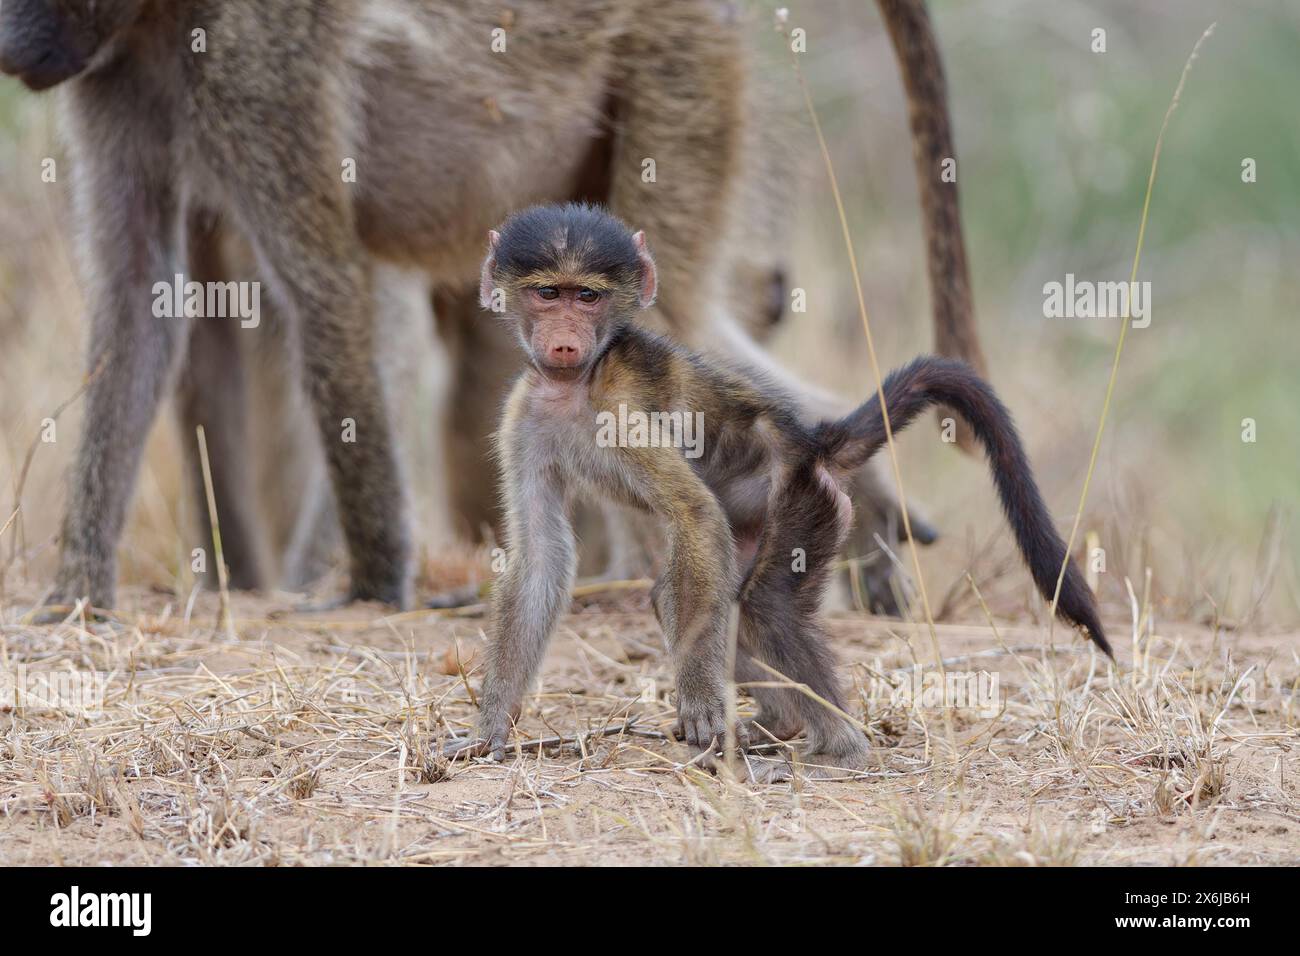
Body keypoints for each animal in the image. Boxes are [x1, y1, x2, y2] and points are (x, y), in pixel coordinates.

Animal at [0, 0, 982, 616]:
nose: (10, 46)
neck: (158, 13)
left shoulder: (261, 72)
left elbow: (327, 290)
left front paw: (369, 587)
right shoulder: (120, 83)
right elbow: (138, 308)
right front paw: (75, 594)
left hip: (681, 74)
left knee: (662, 329)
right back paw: (851, 504)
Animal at [453, 204, 1111, 779]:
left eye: (586, 296)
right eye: (547, 293)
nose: (564, 342)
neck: (576, 386)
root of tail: (810, 442)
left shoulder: (621, 406)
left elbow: (694, 513)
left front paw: (699, 704)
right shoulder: (524, 418)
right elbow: (541, 557)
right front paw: (491, 728)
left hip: (806, 503)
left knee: (764, 605)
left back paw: (839, 750)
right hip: (755, 529)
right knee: (700, 599)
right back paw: (779, 724)